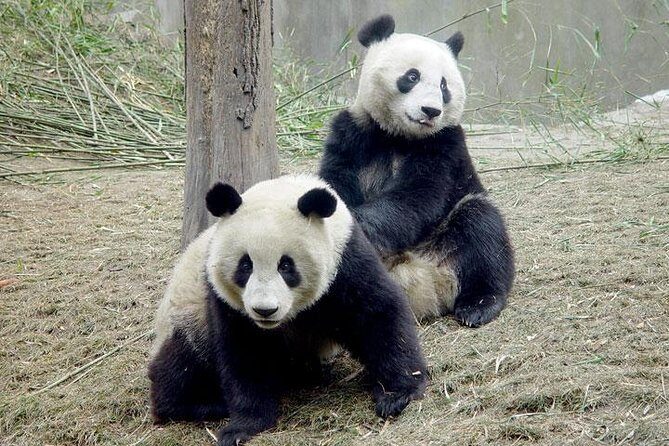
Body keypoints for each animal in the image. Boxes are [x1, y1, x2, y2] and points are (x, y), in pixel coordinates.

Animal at [148, 175, 428, 446]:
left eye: (286, 265)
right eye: (245, 265)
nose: (265, 310)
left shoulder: (346, 261)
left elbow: (378, 318)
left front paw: (396, 394)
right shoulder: (224, 300)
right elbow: (244, 353)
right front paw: (244, 425)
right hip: (188, 314)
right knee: (180, 365)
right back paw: (204, 405)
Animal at [319, 15, 515, 327]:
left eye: (444, 86)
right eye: (412, 77)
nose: (431, 110)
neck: (398, 135)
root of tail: (421, 286)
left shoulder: (444, 145)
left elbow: (419, 194)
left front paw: (361, 225)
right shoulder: (352, 132)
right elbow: (335, 181)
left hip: (450, 237)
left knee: (482, 227)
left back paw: (479, 304)